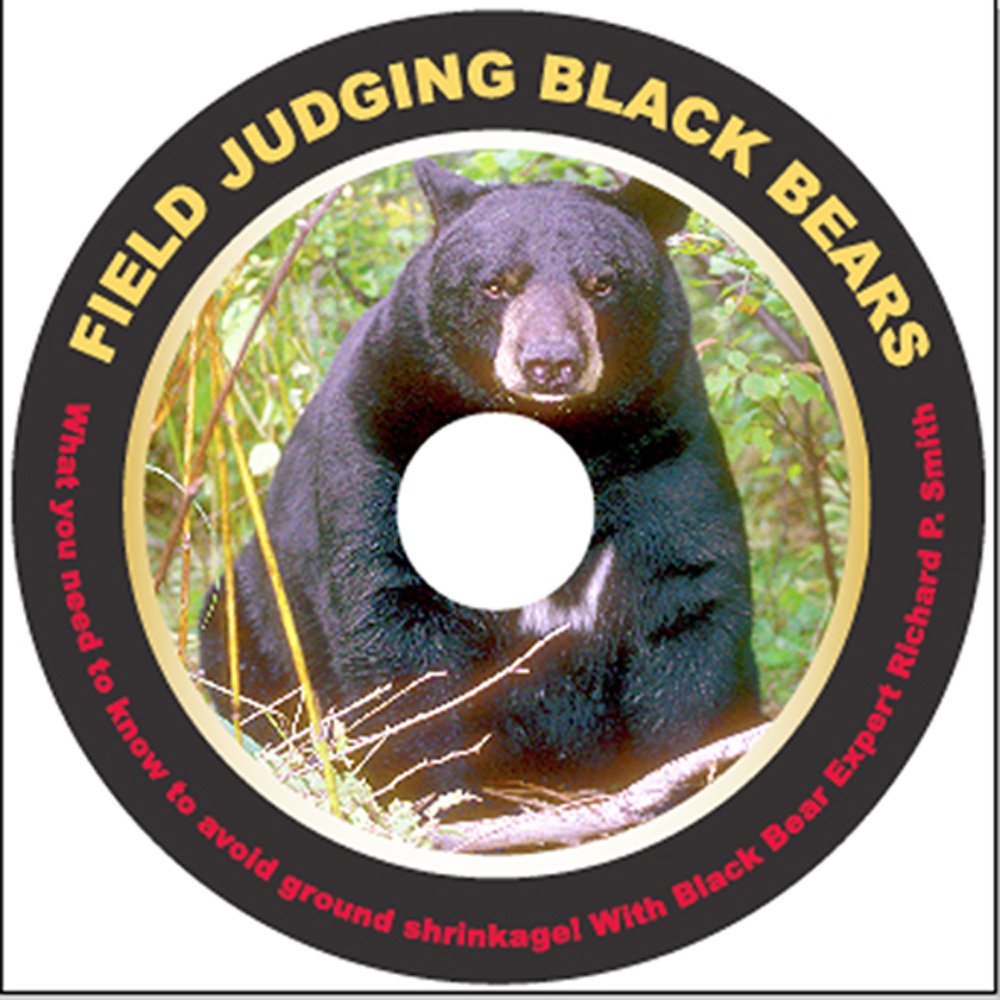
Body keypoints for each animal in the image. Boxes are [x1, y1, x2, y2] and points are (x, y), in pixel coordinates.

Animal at [200, 158, 761, 810]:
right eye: (496, 284)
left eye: (602, 282)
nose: (550, 363)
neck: (558, 438)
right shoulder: (383, 437)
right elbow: (396, 624)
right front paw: (446, 802)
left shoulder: (665, 449)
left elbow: (686, 605)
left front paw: (677, 776)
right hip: (253, 610)